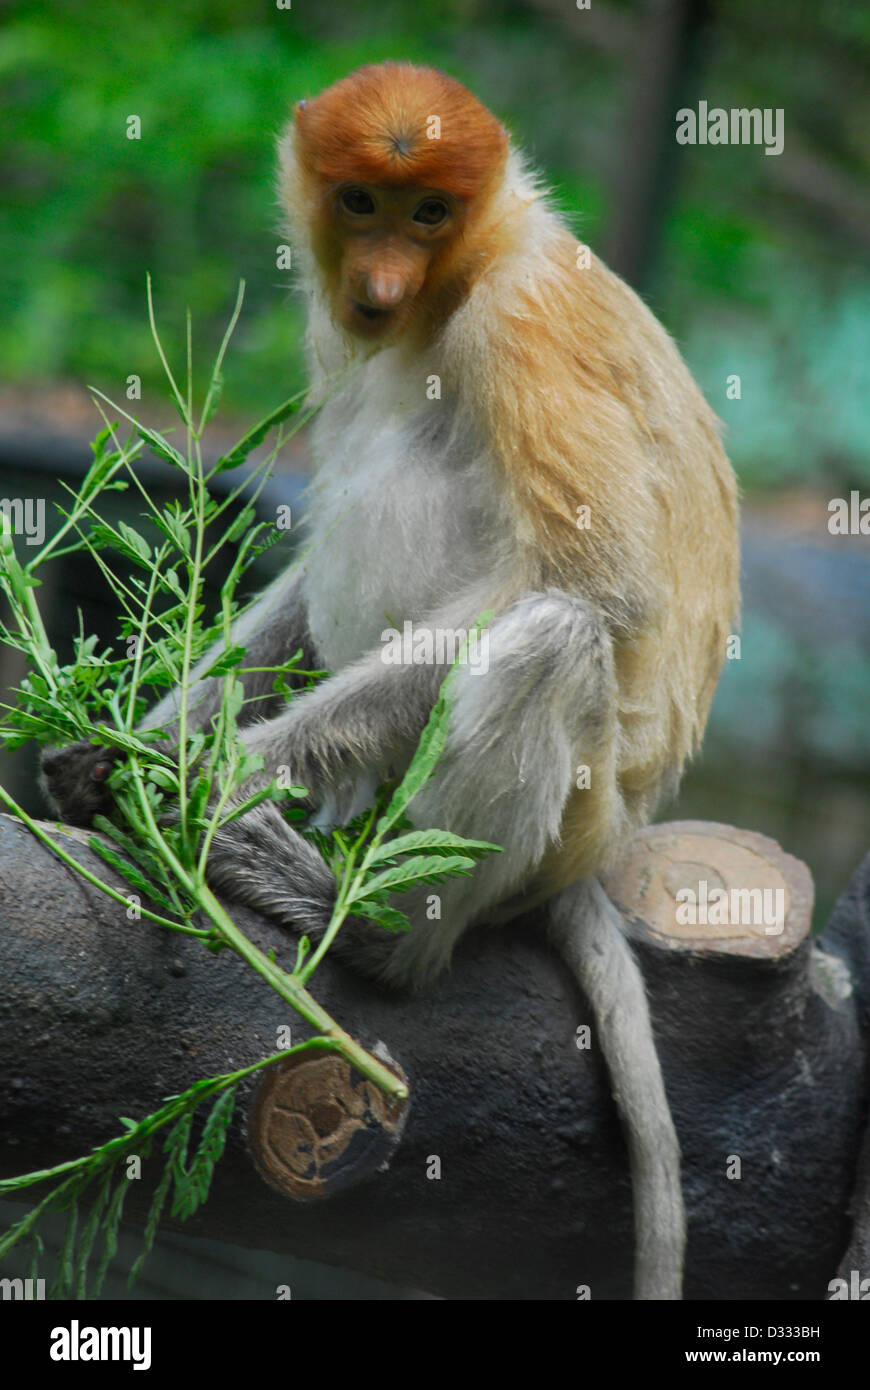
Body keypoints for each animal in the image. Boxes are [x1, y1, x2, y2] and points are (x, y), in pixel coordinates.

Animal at [42, 61, 739, 1300]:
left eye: (429, 214)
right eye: (361, 201)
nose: (377, 285)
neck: (464, 275)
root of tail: (604, 849)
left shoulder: (523, 321)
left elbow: (600, 587)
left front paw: (196, 781)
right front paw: (114, 754)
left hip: (574, 812)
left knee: (553, 632)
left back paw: (372, 932)